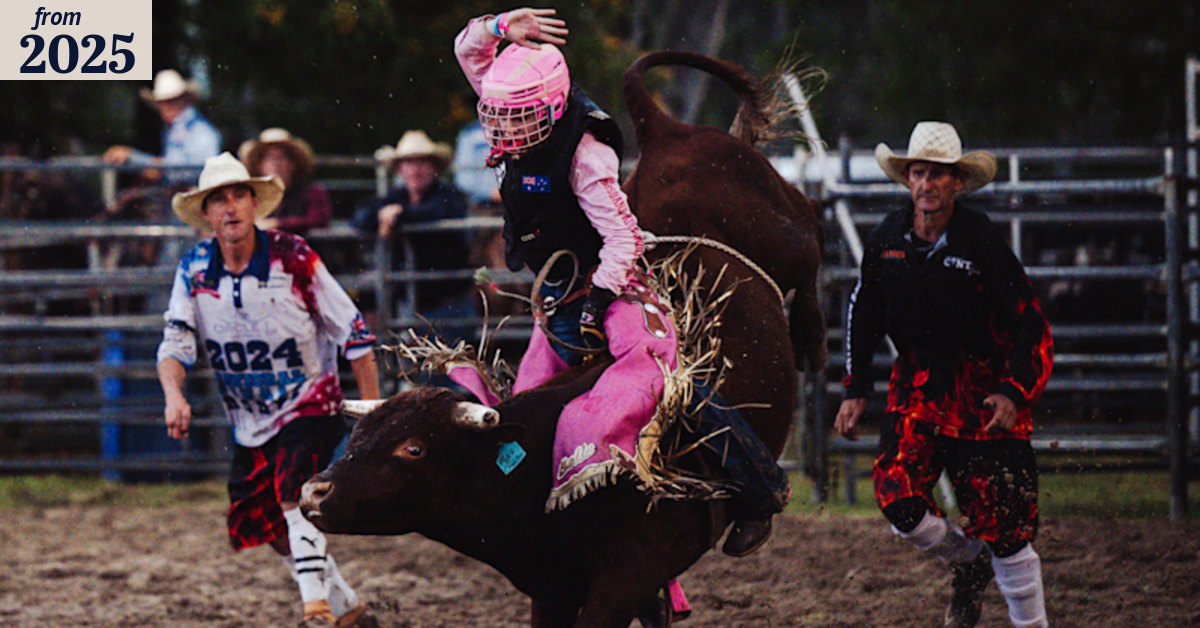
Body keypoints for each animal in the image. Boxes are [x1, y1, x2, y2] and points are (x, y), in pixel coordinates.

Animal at [300, 50, 827, 627]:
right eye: (359, 433)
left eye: (412, 448)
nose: (314, 490)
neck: (529, 462)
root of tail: (664, 131)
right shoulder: (551, 586)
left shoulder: (630, 571)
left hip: (779, 229)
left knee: (810, 231)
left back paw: (814, 339)